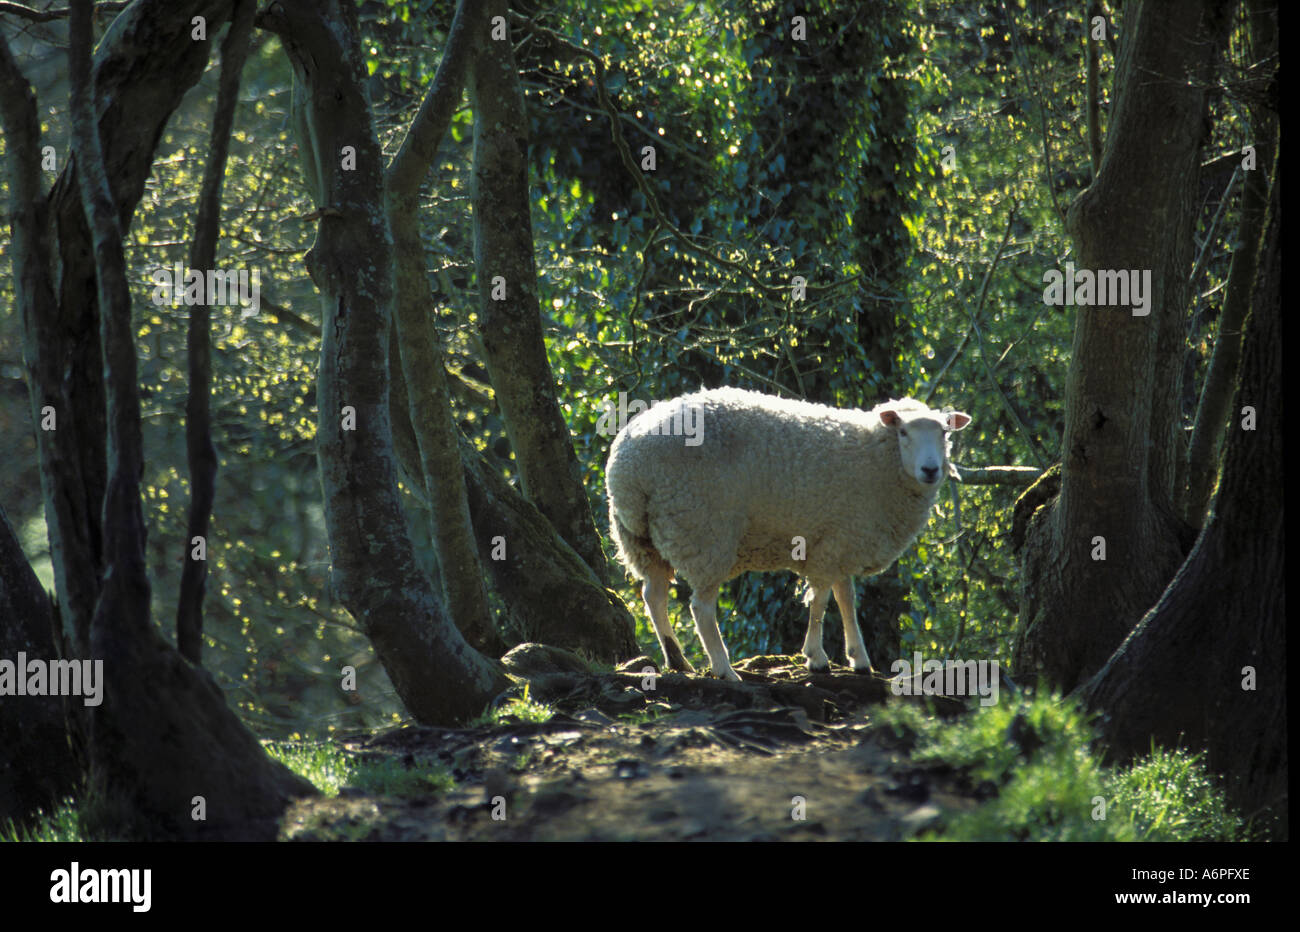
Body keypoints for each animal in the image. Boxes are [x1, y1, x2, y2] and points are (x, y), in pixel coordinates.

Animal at [605, 387, 971, 682]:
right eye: (904, 431)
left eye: (944, 433)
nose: (931, 470)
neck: (879, 460)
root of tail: (628, 464)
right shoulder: (830, 546)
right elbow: (821, 600)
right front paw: (817, 657)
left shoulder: (843, 537)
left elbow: (845, 598)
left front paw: (859, 659)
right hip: (703, 529)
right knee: (701, 607)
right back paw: (724, 669)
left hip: (641, 538)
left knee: (653, 595)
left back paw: (677, 659)